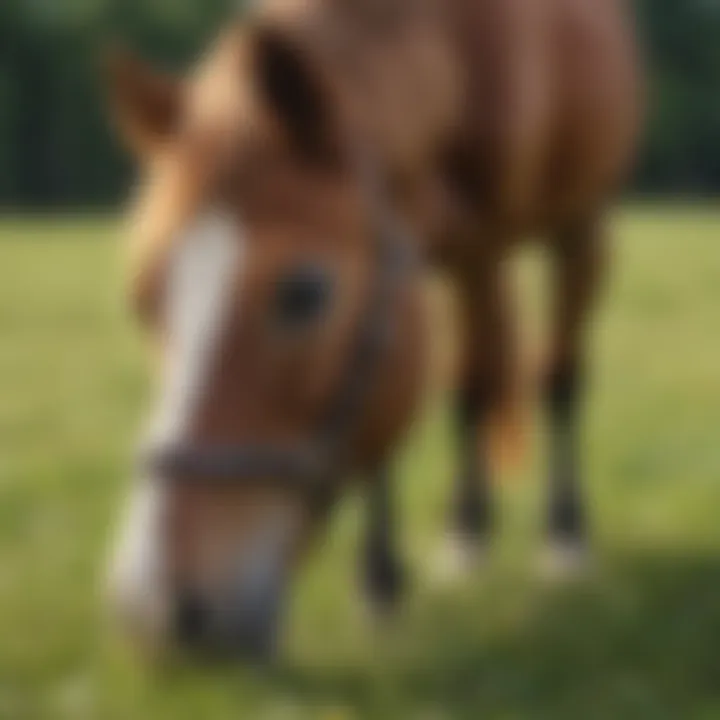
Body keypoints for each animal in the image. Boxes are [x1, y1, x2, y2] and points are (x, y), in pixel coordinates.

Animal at [105, 0, 640, 660]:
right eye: (143, 299)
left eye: (305, 292)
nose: (151, 607)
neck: (459, 51)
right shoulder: (428, 271)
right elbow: (396, 426)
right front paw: (380, 582)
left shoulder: (508, 245)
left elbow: (517, 382)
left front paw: (558, 541)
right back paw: (470, 529)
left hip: (568, 235)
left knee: (549, 377)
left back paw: (557, 533)